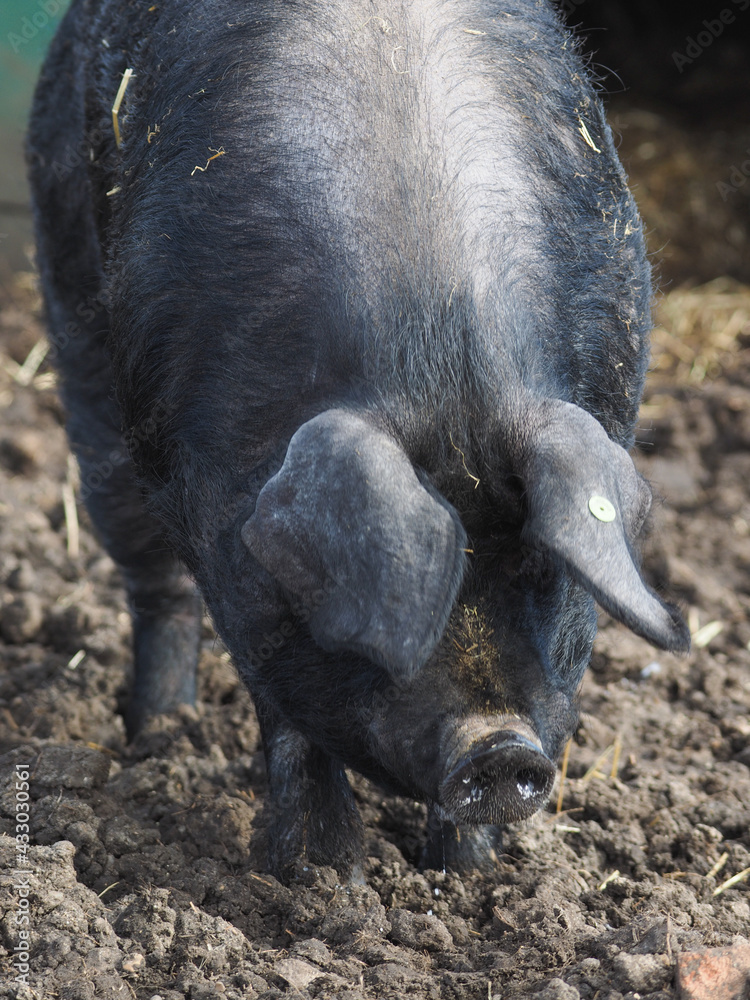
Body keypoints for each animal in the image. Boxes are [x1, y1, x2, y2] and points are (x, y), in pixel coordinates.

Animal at [27, 0, 689, 880]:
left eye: (542, 570)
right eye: (403, 585)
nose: (498, 747)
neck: (440, 351)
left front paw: (467, 876)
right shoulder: (228, 538)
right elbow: (288, 713)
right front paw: (322, 876)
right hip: (79, 330)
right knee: (151, 577)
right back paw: (158, 733)